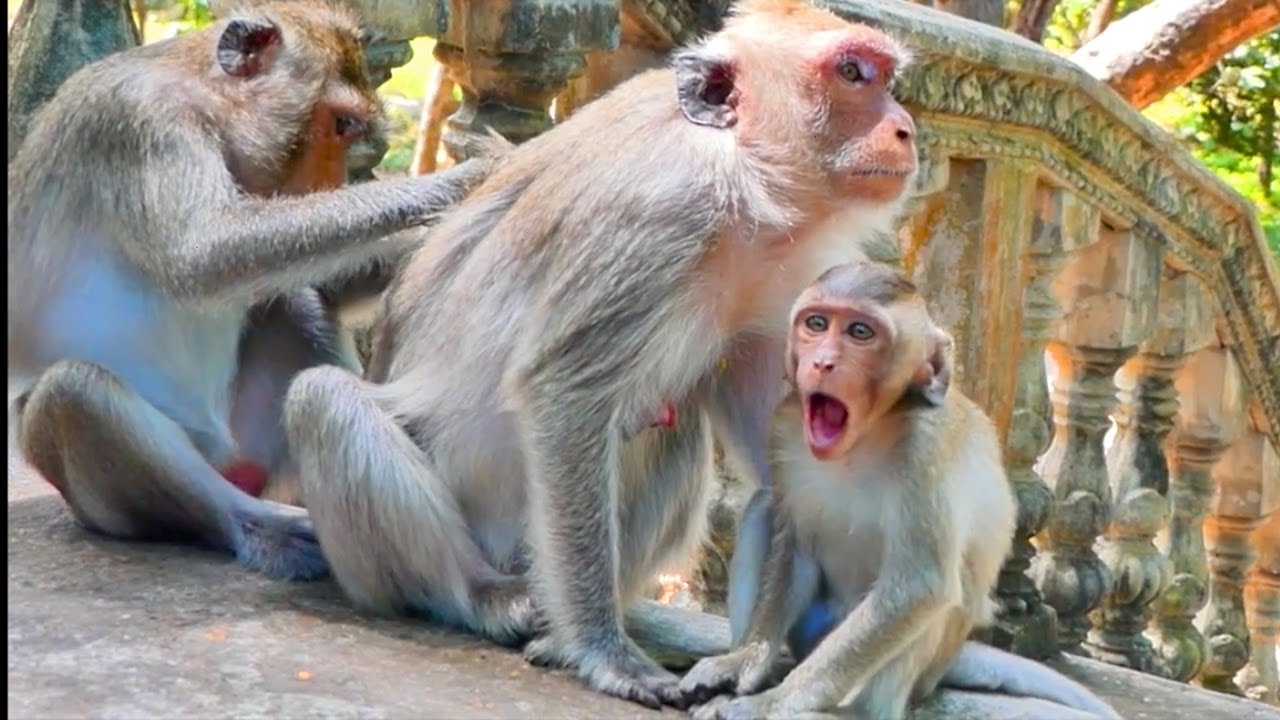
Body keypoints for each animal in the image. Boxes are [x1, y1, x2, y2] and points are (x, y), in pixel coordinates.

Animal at [6, 0, 506, 582]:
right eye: (342, 124)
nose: (334, 182)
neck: (202, 99)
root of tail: (232, 462)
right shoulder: (141, 124)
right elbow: (202, 254)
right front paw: (459, 180)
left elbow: (310, 279)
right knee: (72, 393)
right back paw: (259, 526)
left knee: (291, 301)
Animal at [283, 0, 921, 708]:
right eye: (852, 73)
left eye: (884, 76)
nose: (906, 129)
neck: (737, 173)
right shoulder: (658, 220)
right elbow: (563, 391)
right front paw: (601, 650)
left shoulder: (780, 292)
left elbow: (791, 459)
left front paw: (750, 655)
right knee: (324, 401)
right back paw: (490, 600)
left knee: (672, 425)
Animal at [678, 262, 1122, 720]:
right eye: (816, 324)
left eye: (860, 332)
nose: (822, 362)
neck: (865, 436)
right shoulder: (784, 424)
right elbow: (794, 549)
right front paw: (745, 661)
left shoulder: (925, 448)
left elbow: (919, 585)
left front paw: (771, 702)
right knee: (764, 508)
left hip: (915, 663)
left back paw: (855, 713)